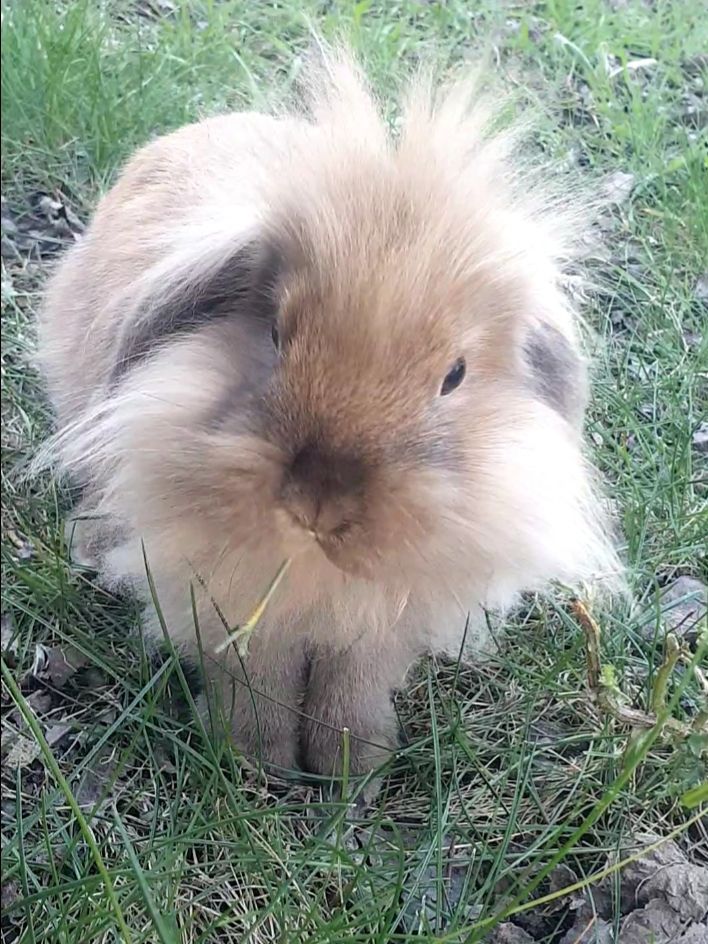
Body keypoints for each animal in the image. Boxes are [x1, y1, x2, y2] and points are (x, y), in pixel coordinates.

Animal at [35, 46, 622, 785]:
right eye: (276, 333)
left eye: (454, 376)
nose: (318, 501)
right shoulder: (228, 603)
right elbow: (258, 684)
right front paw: (260, 764)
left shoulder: (379, 628)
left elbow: (351, 690)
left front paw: (351, 771)